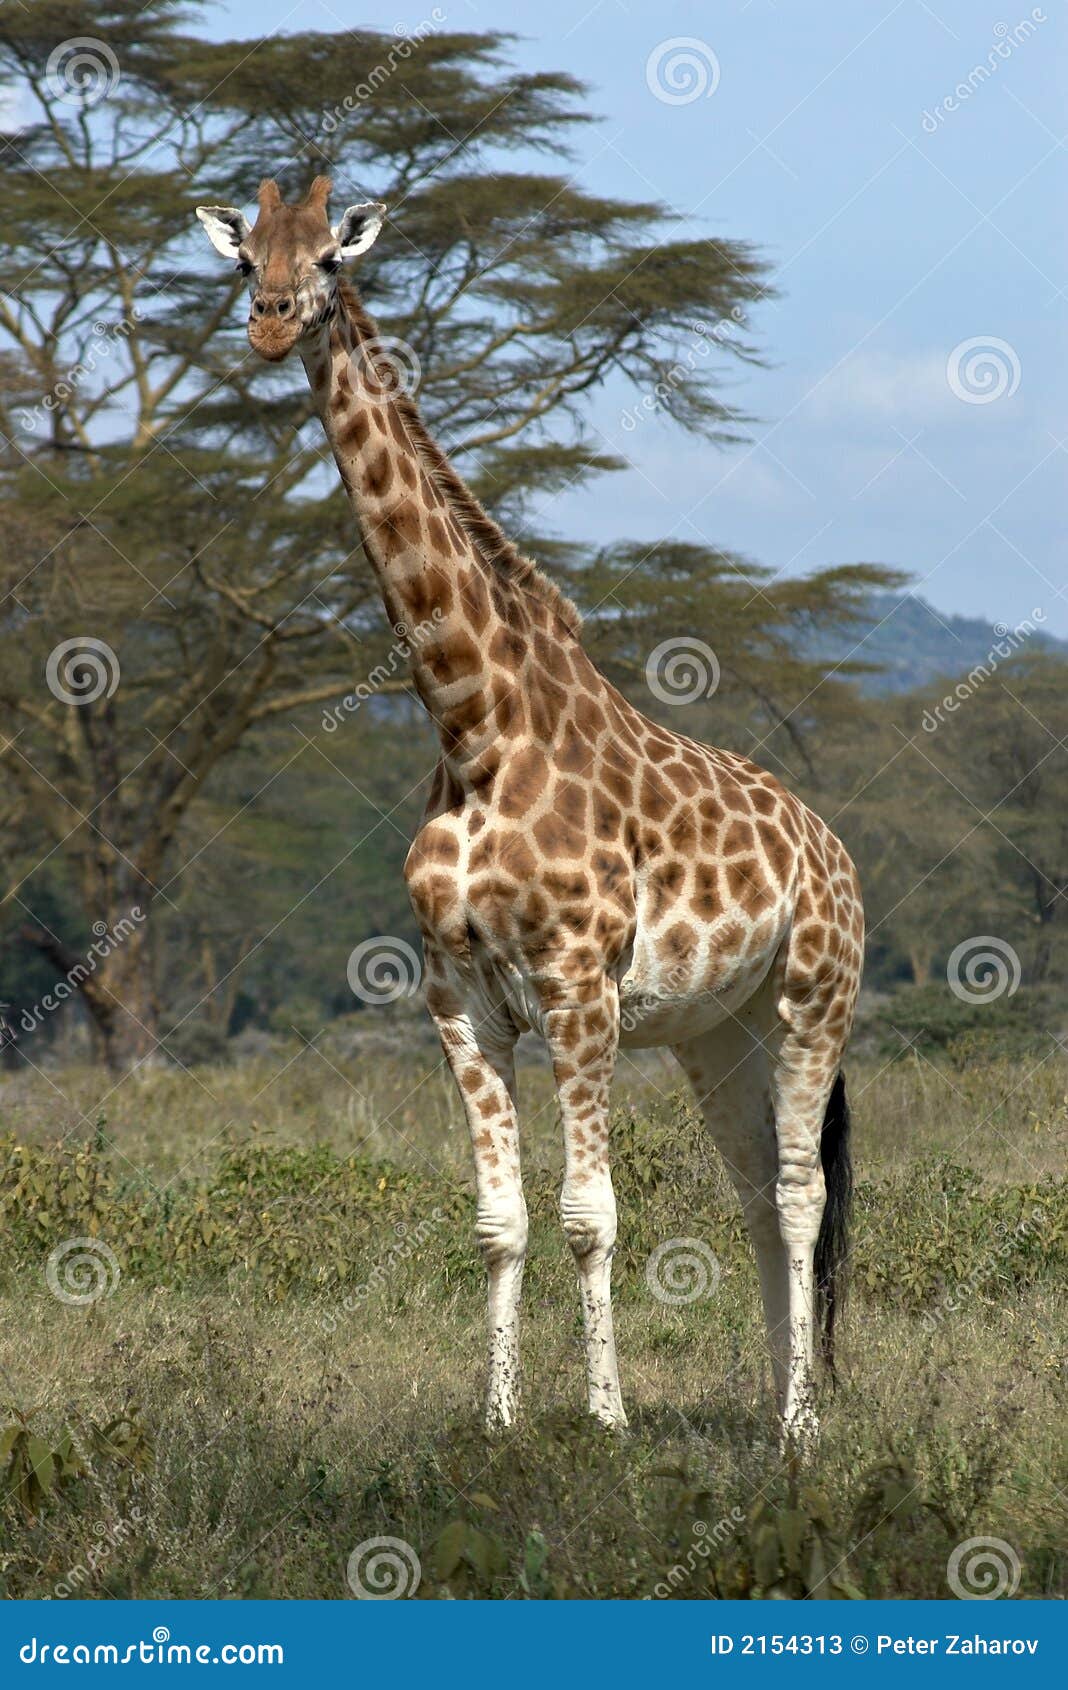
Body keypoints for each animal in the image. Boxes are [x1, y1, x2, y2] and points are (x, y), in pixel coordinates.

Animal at [196, 178, 864, 1444]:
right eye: (248, 256)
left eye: (329, 259)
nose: (268, 323)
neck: (471, 725)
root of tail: (833, 845)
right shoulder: (459, 999)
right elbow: (499, 1222)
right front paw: (499, 1419)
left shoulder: (577, 988)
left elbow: (589, 1213)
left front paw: (605, 1419)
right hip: (720, 1031)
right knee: (756, 1192)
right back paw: (774, 1404)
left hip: (815, 998)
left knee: (801, 1196)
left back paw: (805, 1424)